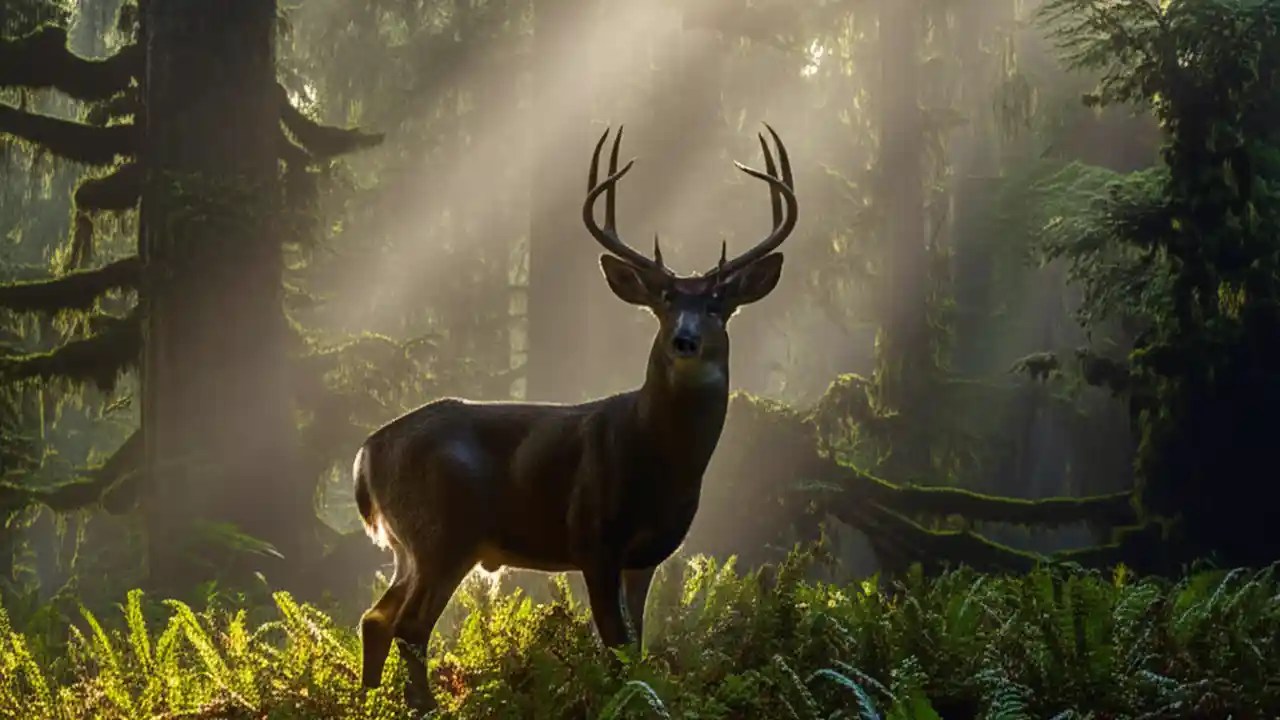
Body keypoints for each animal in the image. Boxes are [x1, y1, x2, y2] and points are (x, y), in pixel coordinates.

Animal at [353, 123, 798, 710]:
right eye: (662, 301)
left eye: (718, 305)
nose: (684, 340)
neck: (656, 457)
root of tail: (369, 450)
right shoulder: (593, 538)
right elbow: (615, 649)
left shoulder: (646, 555)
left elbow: (636, 648)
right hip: (443, 532)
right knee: (409, 627)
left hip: (409, 546)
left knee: (375, 618)